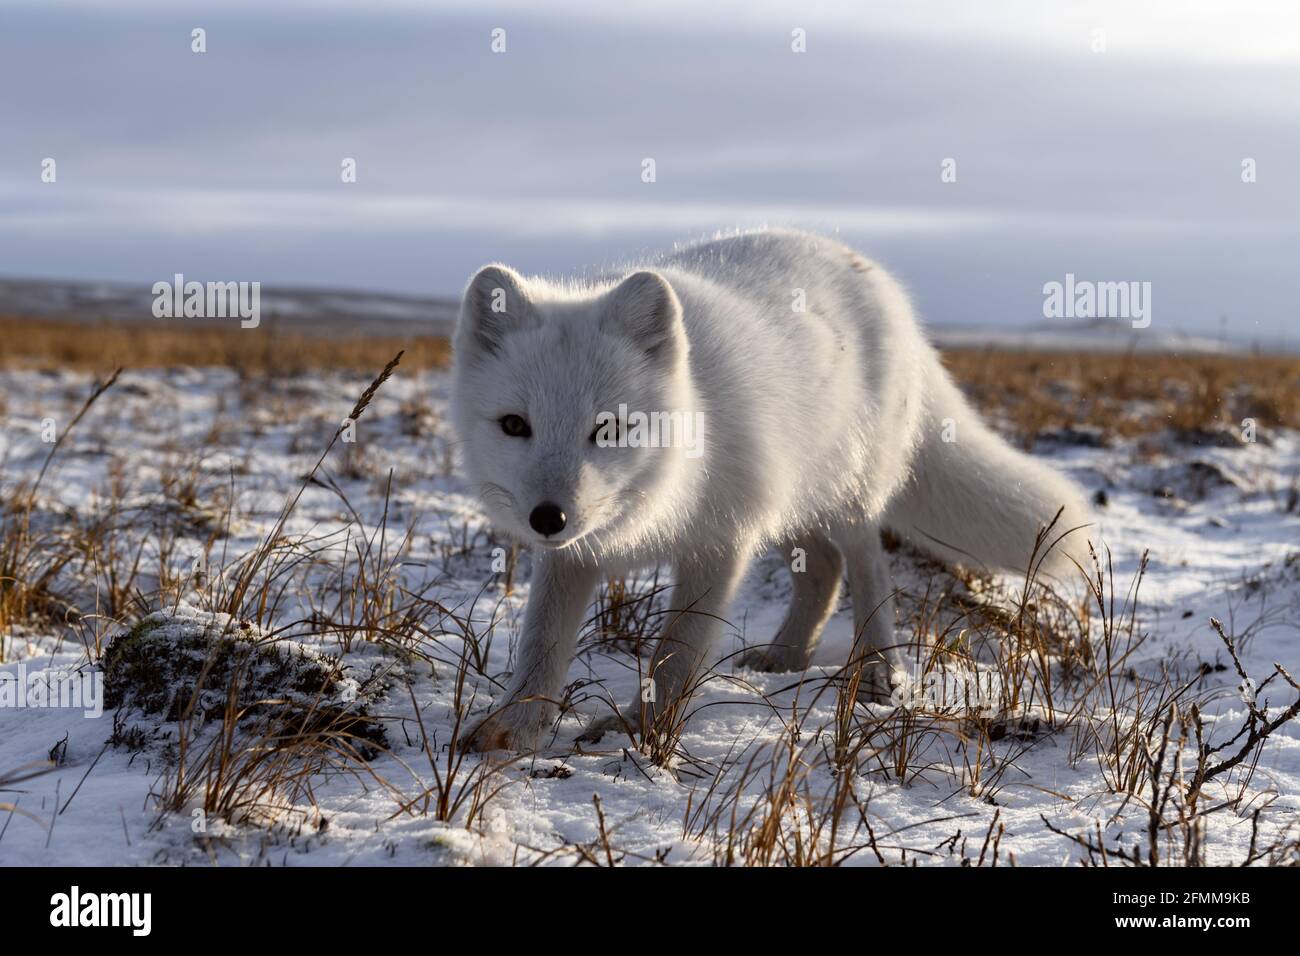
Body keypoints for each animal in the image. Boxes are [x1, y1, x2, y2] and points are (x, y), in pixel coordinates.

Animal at [451, 228, 1092, 752]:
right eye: (515, 425)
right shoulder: (576, 554)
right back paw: (786, 657)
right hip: (789, 504)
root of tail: (880, 281)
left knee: (867, 567)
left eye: (607, 428)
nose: (548, 519)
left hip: (843, 493)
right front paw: (516, 726)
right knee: (824, 570)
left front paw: (636, 731)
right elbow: (541, 642)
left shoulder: (723, 540)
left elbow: (676, 651)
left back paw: (877, 671)